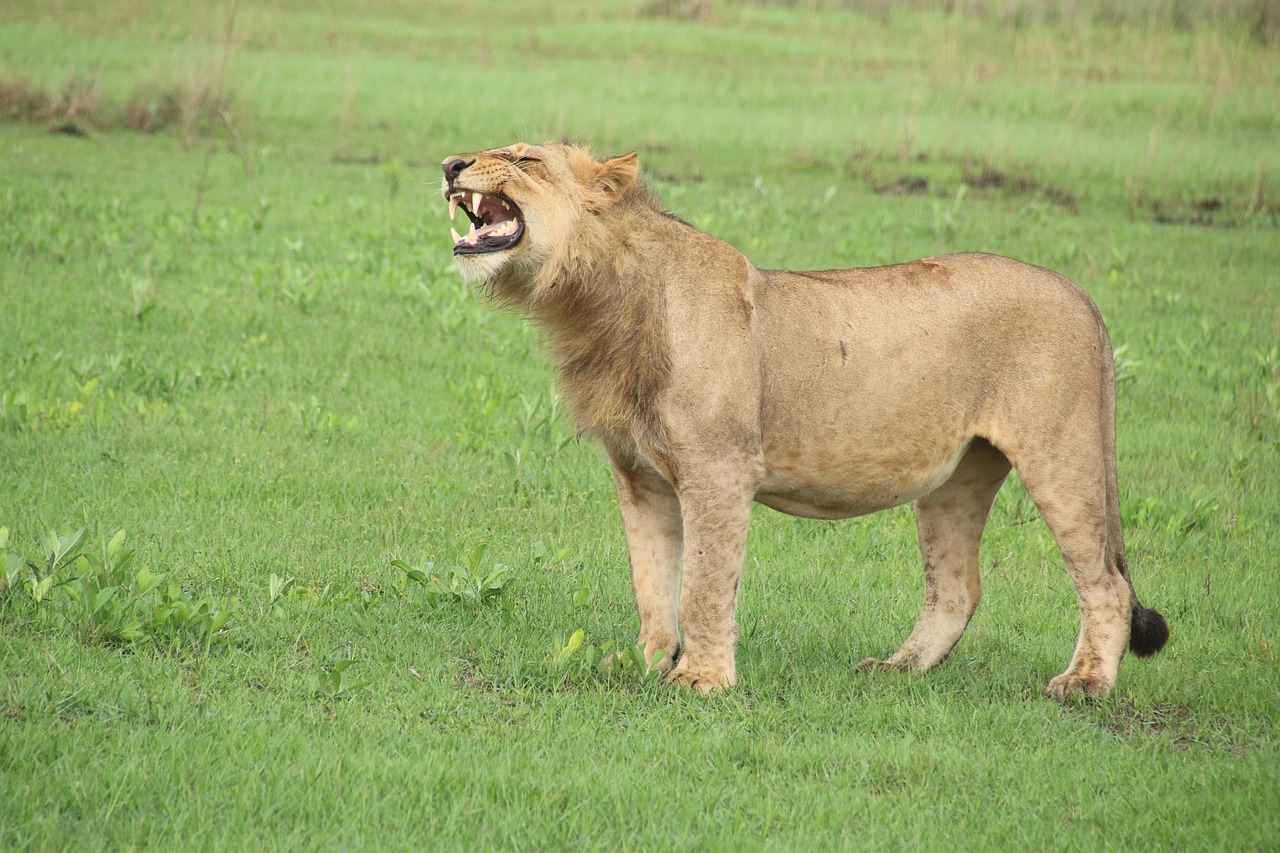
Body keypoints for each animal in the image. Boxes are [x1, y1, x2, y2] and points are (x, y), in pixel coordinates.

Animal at [438, 142, 1168, 698]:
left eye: (523, 157)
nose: (450, 164)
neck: (594, 301)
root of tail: (1081, 294)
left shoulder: (719, 469)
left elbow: (705, 582)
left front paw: (702, 679)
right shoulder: (640, 476)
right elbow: (652, 582)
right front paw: (645, 662)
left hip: (1061, 453)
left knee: (1104, 580)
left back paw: (1086, 683)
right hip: (957, 477)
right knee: (957, 587)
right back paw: (899, 668)